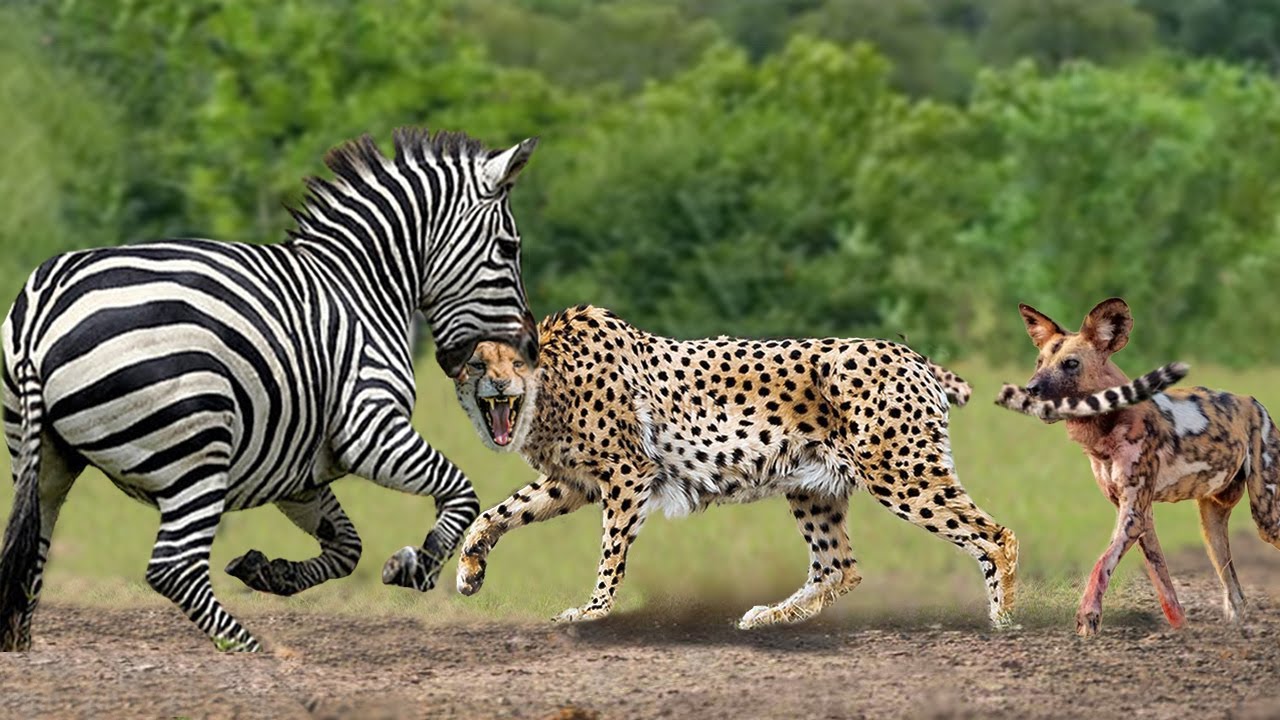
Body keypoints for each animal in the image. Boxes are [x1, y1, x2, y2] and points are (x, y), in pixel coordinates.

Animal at [0, 128, 541, 652]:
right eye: (509, 248)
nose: (532, 351)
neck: (362, 288)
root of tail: (43, 312)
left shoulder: (299, 470)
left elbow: (346, 546)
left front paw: (271, 573)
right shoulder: (369, 431)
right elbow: (460, 490)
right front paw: (417, 565)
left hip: (44, 460)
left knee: (30, 556)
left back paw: (20, 645)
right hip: (196, 448)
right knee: (173, 568)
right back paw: (258, 651)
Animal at [451, 305, 1018, 629]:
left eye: (511, 364)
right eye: (478, 364)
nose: (498, 387)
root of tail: (910, 353)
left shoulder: (628, 474)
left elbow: (610, 553)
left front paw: (594, 611)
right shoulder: (574, 481)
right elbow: (497, 514)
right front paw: (469, 572)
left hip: (900, 473)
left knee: (996, 535)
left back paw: (1004, 618)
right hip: (811, 485)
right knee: (839, 566)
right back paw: (772, 615)